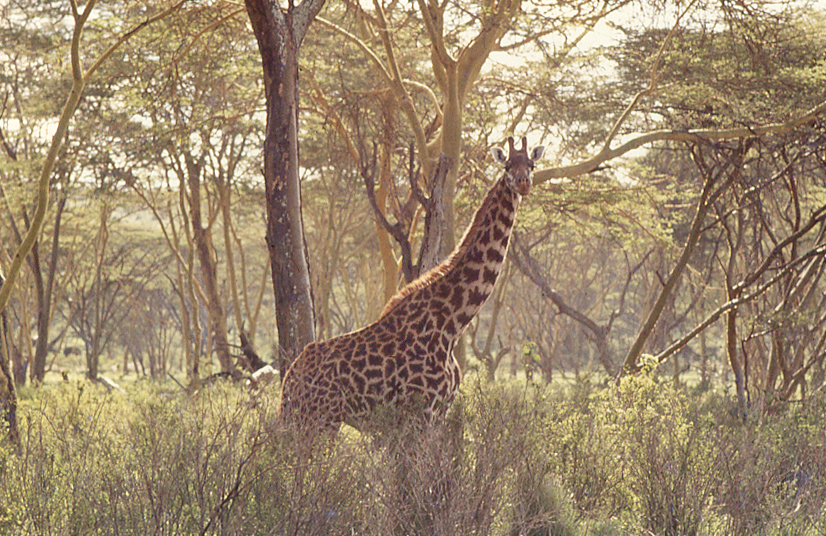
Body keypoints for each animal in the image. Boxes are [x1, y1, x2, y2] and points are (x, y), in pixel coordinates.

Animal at [278, 136, 545, 435]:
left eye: (532, 164)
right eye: (508, 165)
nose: (523, 183)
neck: (452, 323)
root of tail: (288, 380)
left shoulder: (438, 412)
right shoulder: (420, 412)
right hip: (319, 420)